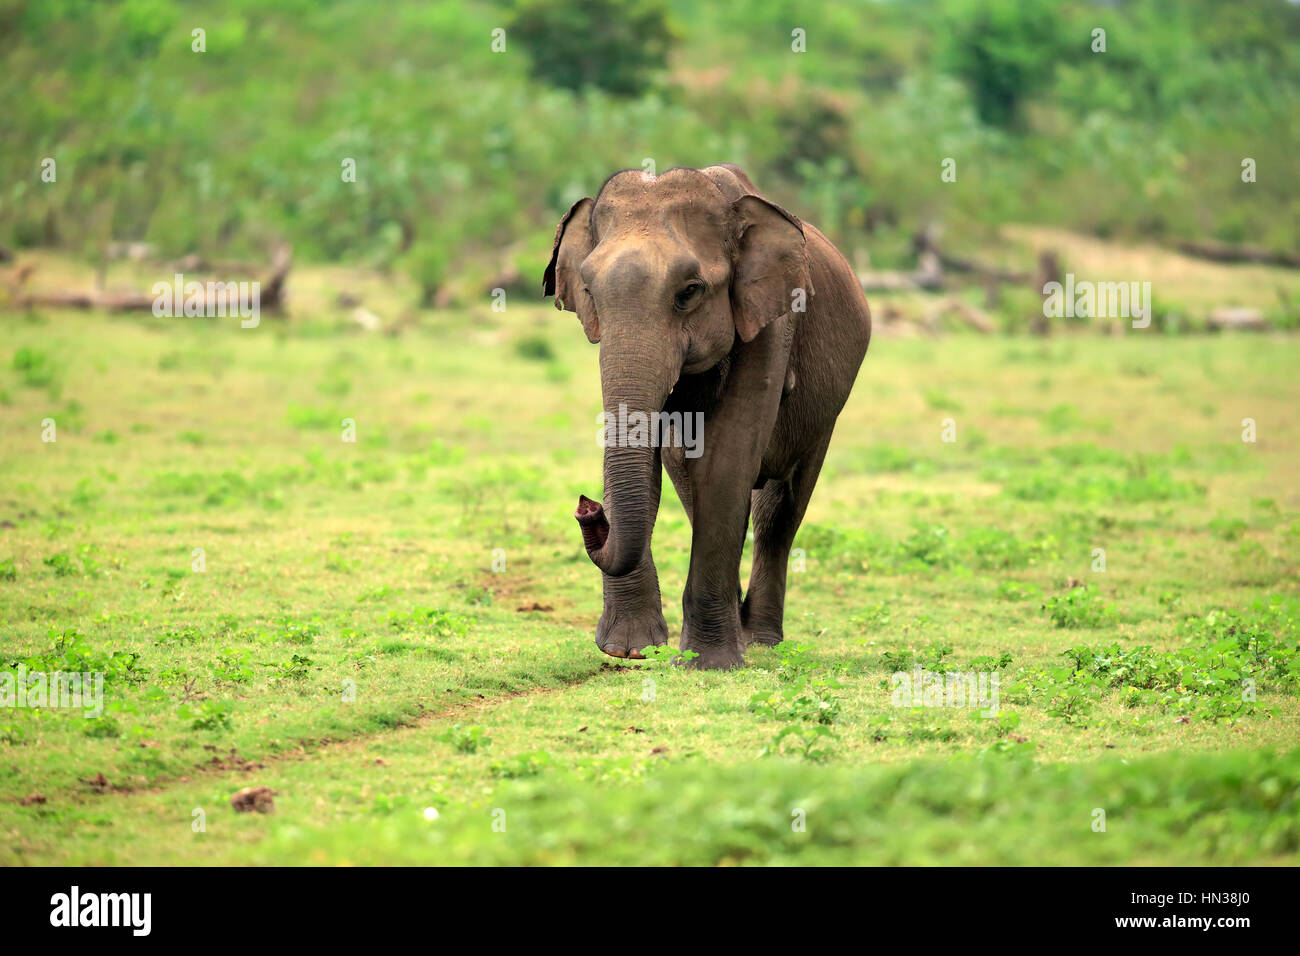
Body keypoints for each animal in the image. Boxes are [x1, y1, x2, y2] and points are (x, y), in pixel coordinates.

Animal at [544, 164, 871, 669]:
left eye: (689, 293)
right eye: (589, 291)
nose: (587, 507)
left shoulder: (769, 325)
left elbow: (726, 460)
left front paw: (709, 664)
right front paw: (630, 650)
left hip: (828, 410)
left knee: (780, 509)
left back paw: (760, 641)